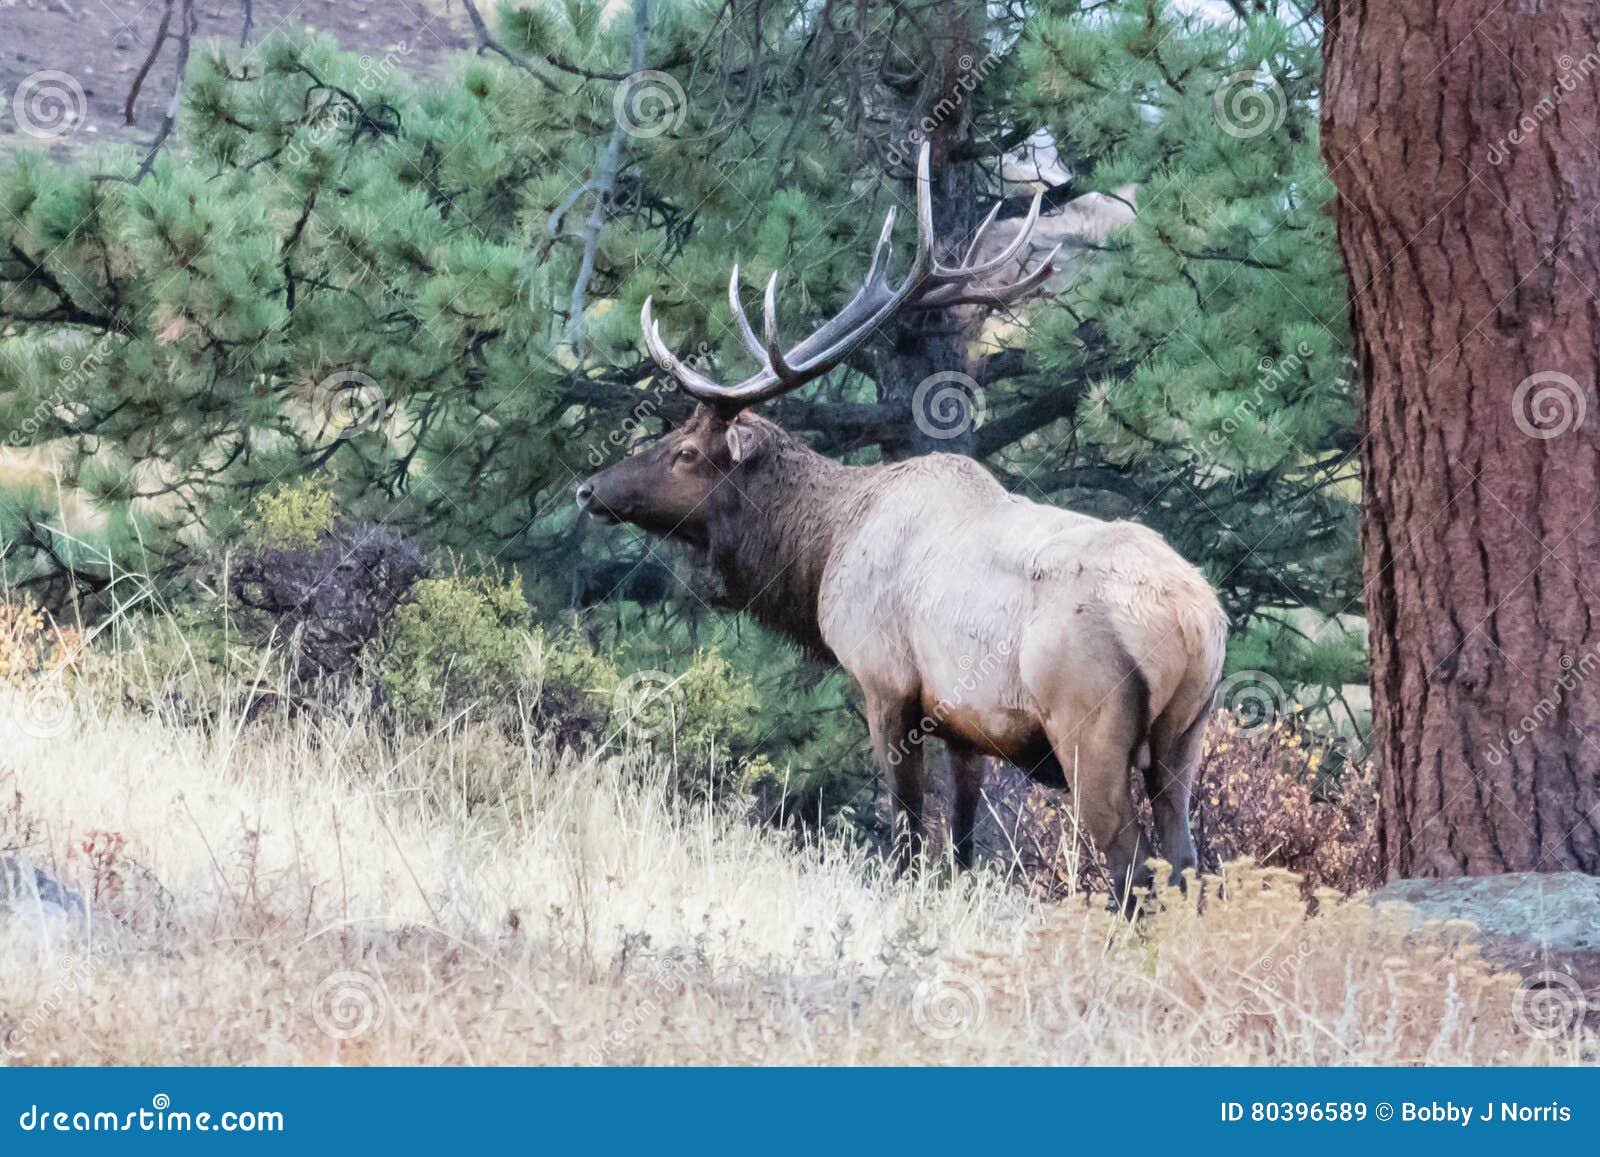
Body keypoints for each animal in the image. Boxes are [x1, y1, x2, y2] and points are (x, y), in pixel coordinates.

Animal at [577, 144, 1228, 906]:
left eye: (684, 450)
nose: (590, 488)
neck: (823, 552)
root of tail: (1194, 619)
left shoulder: (886, 682)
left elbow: (907, 833)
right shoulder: (968, 723)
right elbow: (965, 840)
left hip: (1089, 728)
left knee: (1133, 874)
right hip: (1187, 737)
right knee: (1187, 863)